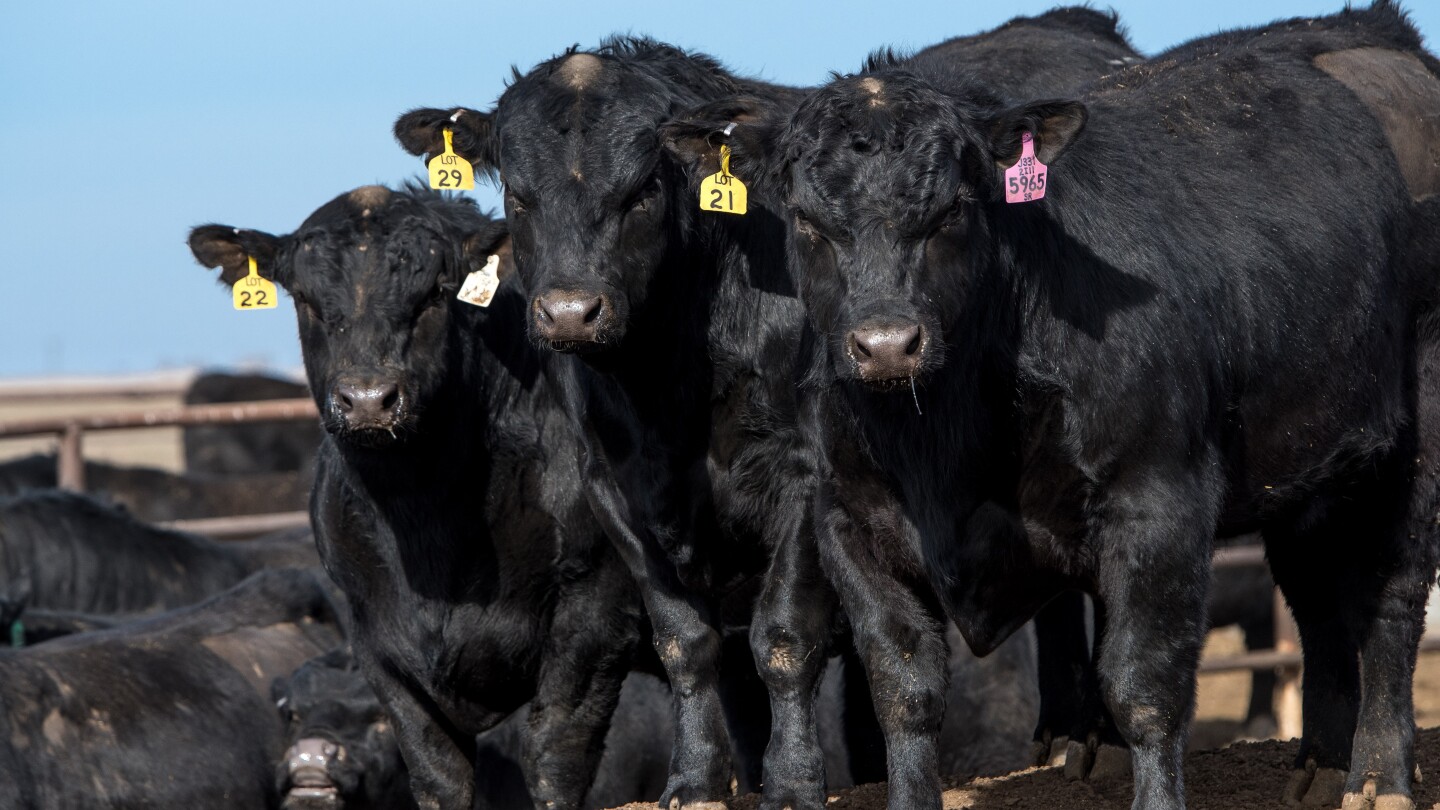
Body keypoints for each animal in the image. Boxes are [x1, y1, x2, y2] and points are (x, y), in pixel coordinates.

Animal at [392, 9, 1140, 809]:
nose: (570, 313)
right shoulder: (611, 484)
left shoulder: (806, 474)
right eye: (518, 197)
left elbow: (783, 637)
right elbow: (687, 644)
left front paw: (790, 783)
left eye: (642, 192)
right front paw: (695, 779)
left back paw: (1079, 734)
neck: (665, 382)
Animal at [698, 2, 1440, 808]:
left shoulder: (1158, 500)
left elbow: (1146, 684)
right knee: (1317, 598)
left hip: (1418, 436)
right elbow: (904, 688)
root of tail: (1375, 30)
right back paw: (1322, 765)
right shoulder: (849, 523)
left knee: (1391, 599)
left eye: (953, 209)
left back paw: (1379, 774)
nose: (887, 345)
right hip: (1307, 462)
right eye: (806, 221)